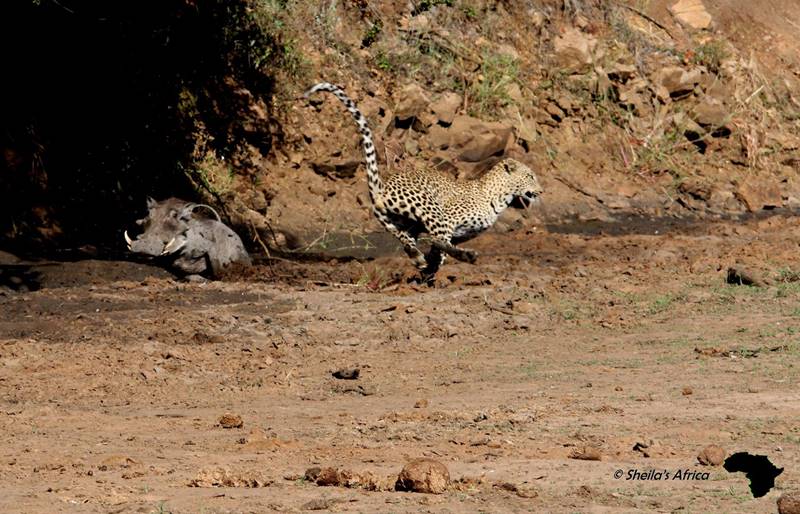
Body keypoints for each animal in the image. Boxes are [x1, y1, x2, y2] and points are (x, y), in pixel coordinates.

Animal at [304, 82, 543, 279]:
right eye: (530, 176)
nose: (541, 192)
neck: (499, 198)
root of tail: (383, 187)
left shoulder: (458, 234)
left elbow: (439, 248)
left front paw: (431, 265)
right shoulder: (450, 219)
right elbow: (440, 244)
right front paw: (439, 264)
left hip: (397, 222)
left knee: (408, 241)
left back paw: (419, 259)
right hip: (431, 208)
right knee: (435, 238)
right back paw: (462, 257)